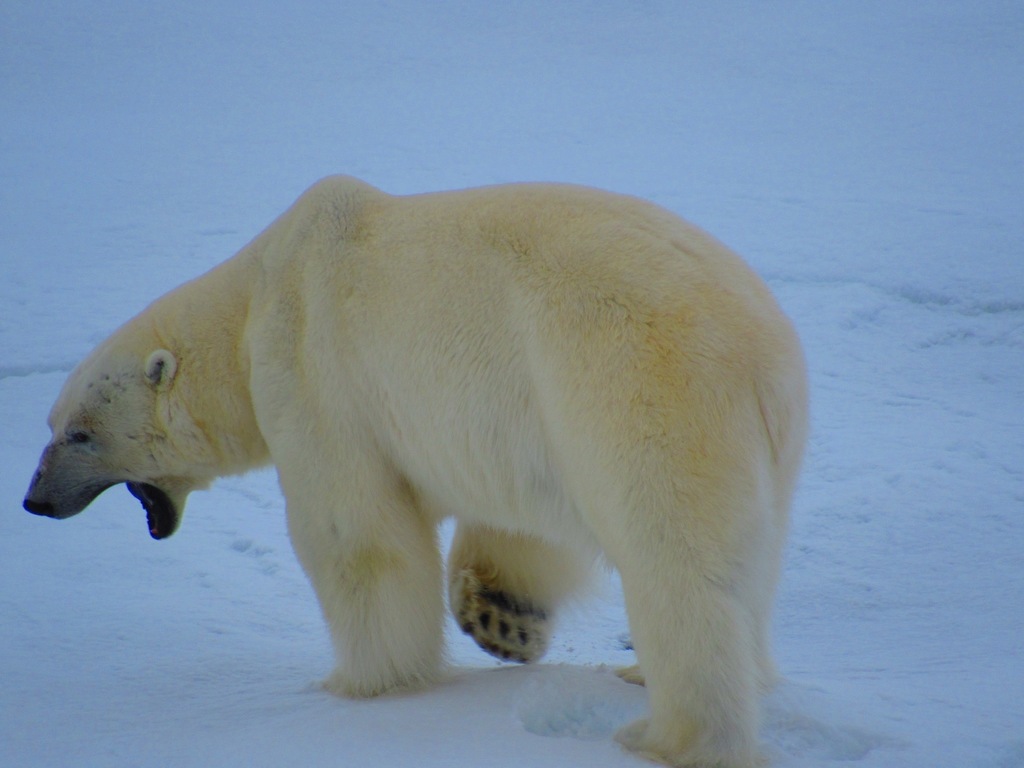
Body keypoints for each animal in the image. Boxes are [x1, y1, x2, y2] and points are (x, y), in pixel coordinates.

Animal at [23, 177, 808, 768]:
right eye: (52, 425)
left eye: (79, 433)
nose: (33, 501)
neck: (252, 298)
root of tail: (761, 357)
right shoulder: (514, 414)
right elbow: (519, 506)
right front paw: (503, 619)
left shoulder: (312, 369)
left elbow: (356, 537)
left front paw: (358, 685)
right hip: (759, 452)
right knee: (752, 570)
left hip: (637, 391)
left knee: (679, 570)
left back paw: (666, 733)